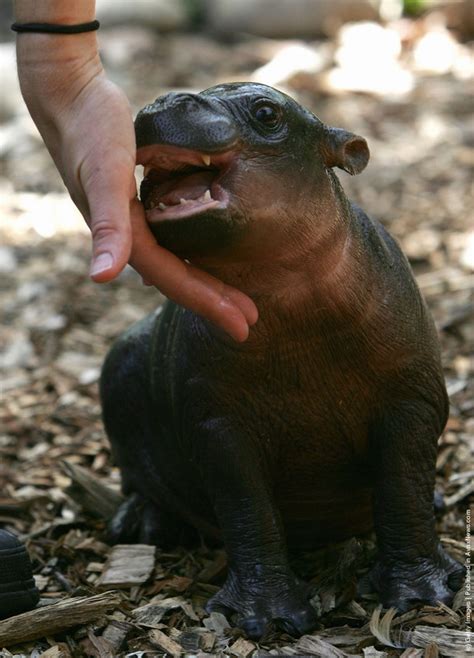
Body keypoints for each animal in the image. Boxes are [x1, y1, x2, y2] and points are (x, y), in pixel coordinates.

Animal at [100, 82, 463, 638]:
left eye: (267, 112)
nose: (164, 101)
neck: (294, 301)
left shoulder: (412, 400)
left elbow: (404, 485)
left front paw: (422, 594)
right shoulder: (218, 425)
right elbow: (248, 508)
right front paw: (266, 618)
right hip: (118, 362)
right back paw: (144, 524)